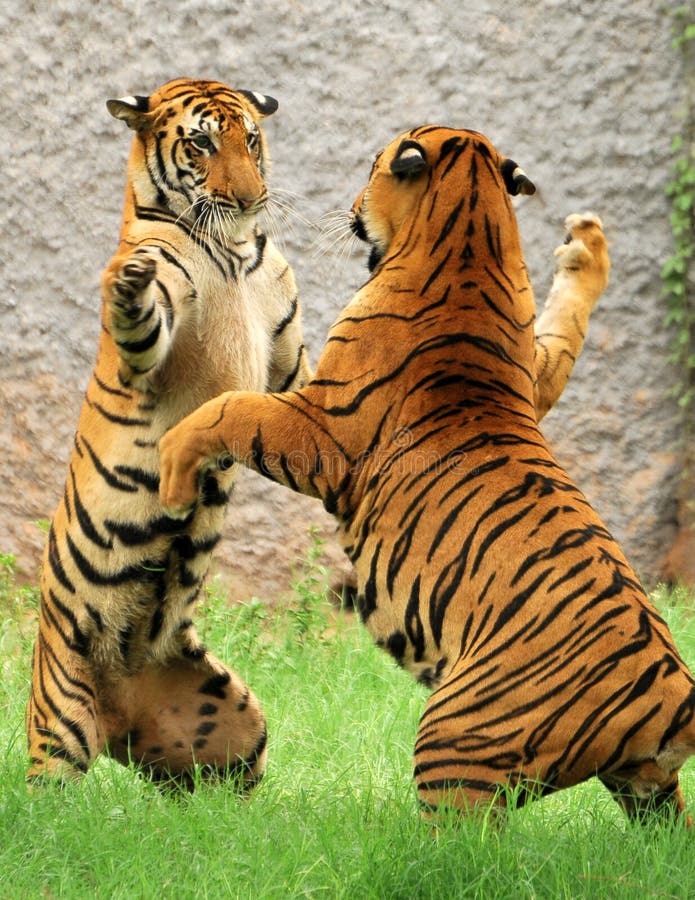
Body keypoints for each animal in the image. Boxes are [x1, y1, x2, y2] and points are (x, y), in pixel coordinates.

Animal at [26, 77, 311, 788]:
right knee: (48, 796)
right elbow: (141, 311)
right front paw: (127, 284)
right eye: (202, 143)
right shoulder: (154, 346)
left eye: (252, 141)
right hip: (59, 722)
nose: (250, 198)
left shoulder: (290, 365)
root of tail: (118, 721)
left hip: (238, 723)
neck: (233, 250)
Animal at [159, 125, 695, 822]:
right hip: (645, 785)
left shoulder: (323, 434)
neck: (472, 236)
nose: (351, 204)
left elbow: (231, 407)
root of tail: (673, 696)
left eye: (372, 167)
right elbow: (568, 326)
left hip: (457, 737)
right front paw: (586, 244)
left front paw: (171, 471)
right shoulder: (538, 373)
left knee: (457, 835)